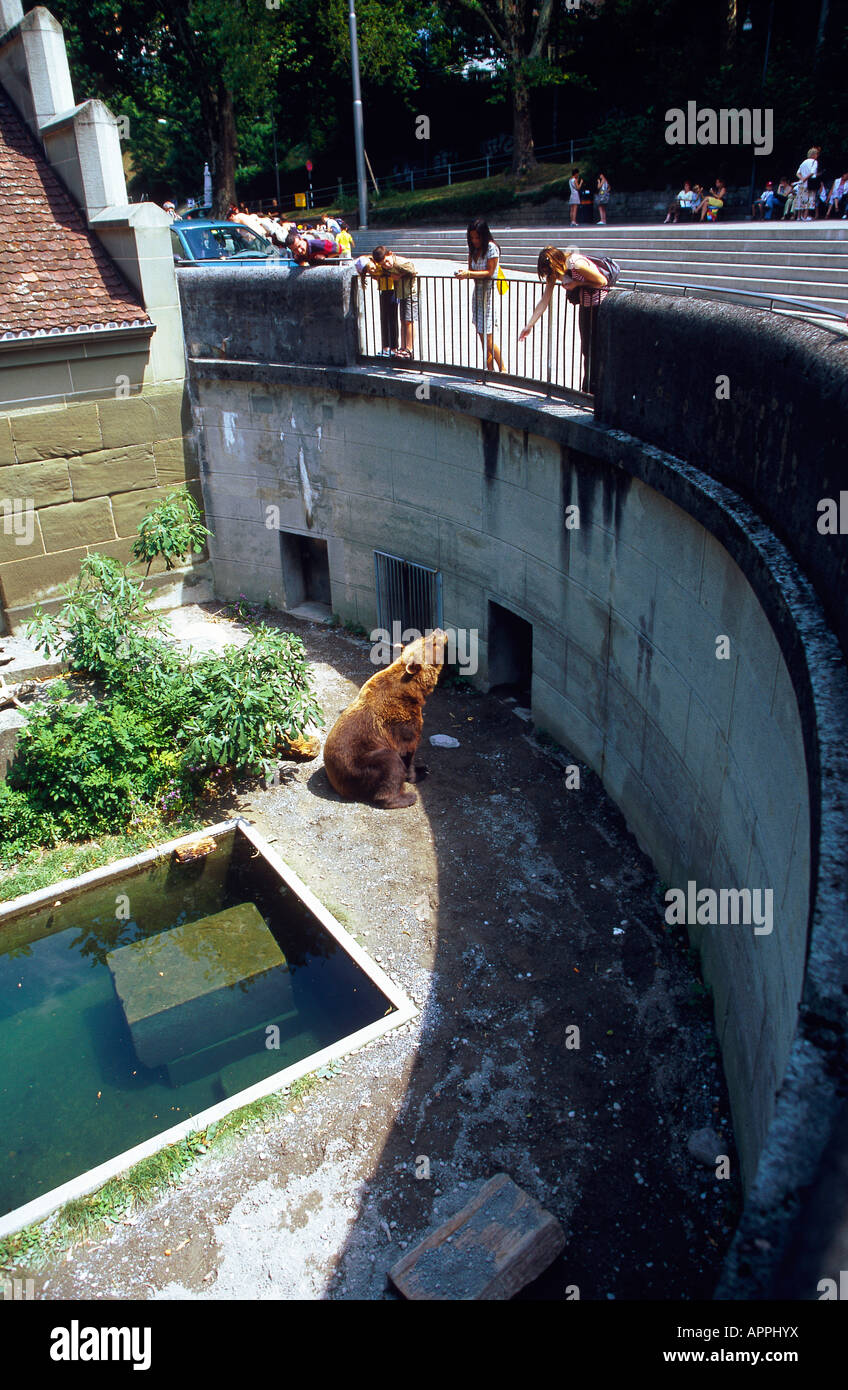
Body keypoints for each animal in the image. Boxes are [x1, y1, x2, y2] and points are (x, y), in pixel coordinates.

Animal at [322, 629, 449, 809]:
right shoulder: (400, 721)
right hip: (360, 764)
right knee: (389, 763)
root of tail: (334, 779)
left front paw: (422, 768)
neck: (414, 690)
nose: (439, 630)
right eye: (431, 643)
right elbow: (408, 749)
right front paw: (419, 772)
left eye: (423, 637)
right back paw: (407, 797)